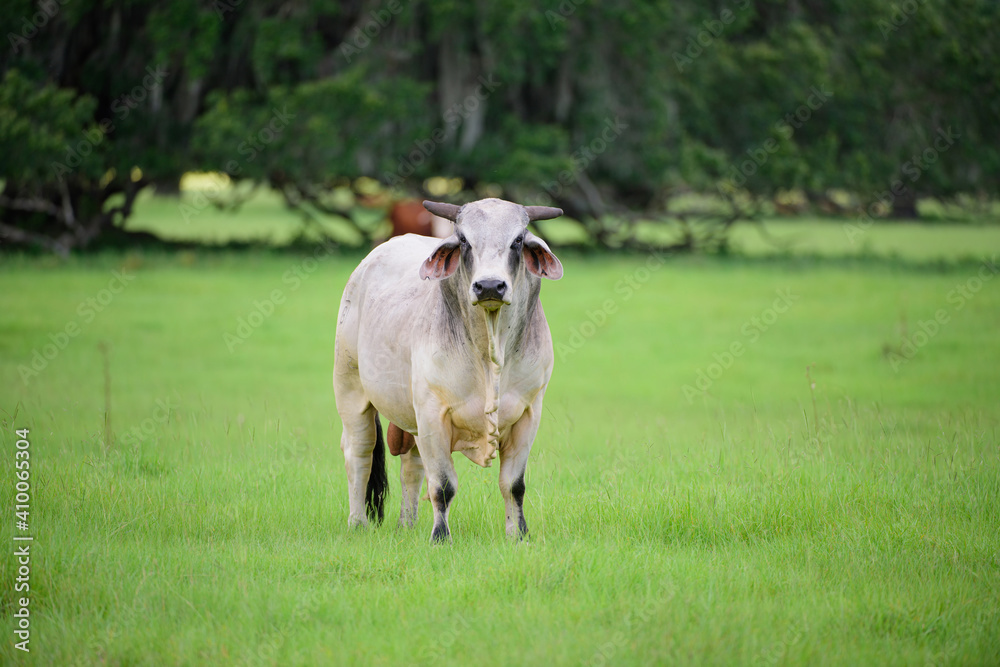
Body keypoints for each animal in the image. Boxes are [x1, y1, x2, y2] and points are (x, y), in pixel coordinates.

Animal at [333, 198, 564, 542]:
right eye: (464, 240)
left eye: (518, 240)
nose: (490, 286)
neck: (490, 352)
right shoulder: (433, 413)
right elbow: (442, 486)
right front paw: (440, 537)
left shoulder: (528, 412)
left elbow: (514, 485)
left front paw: (518, 536)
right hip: (350, 388)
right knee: (359, 454)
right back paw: (357, 522)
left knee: (411, 466)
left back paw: (407, 523)